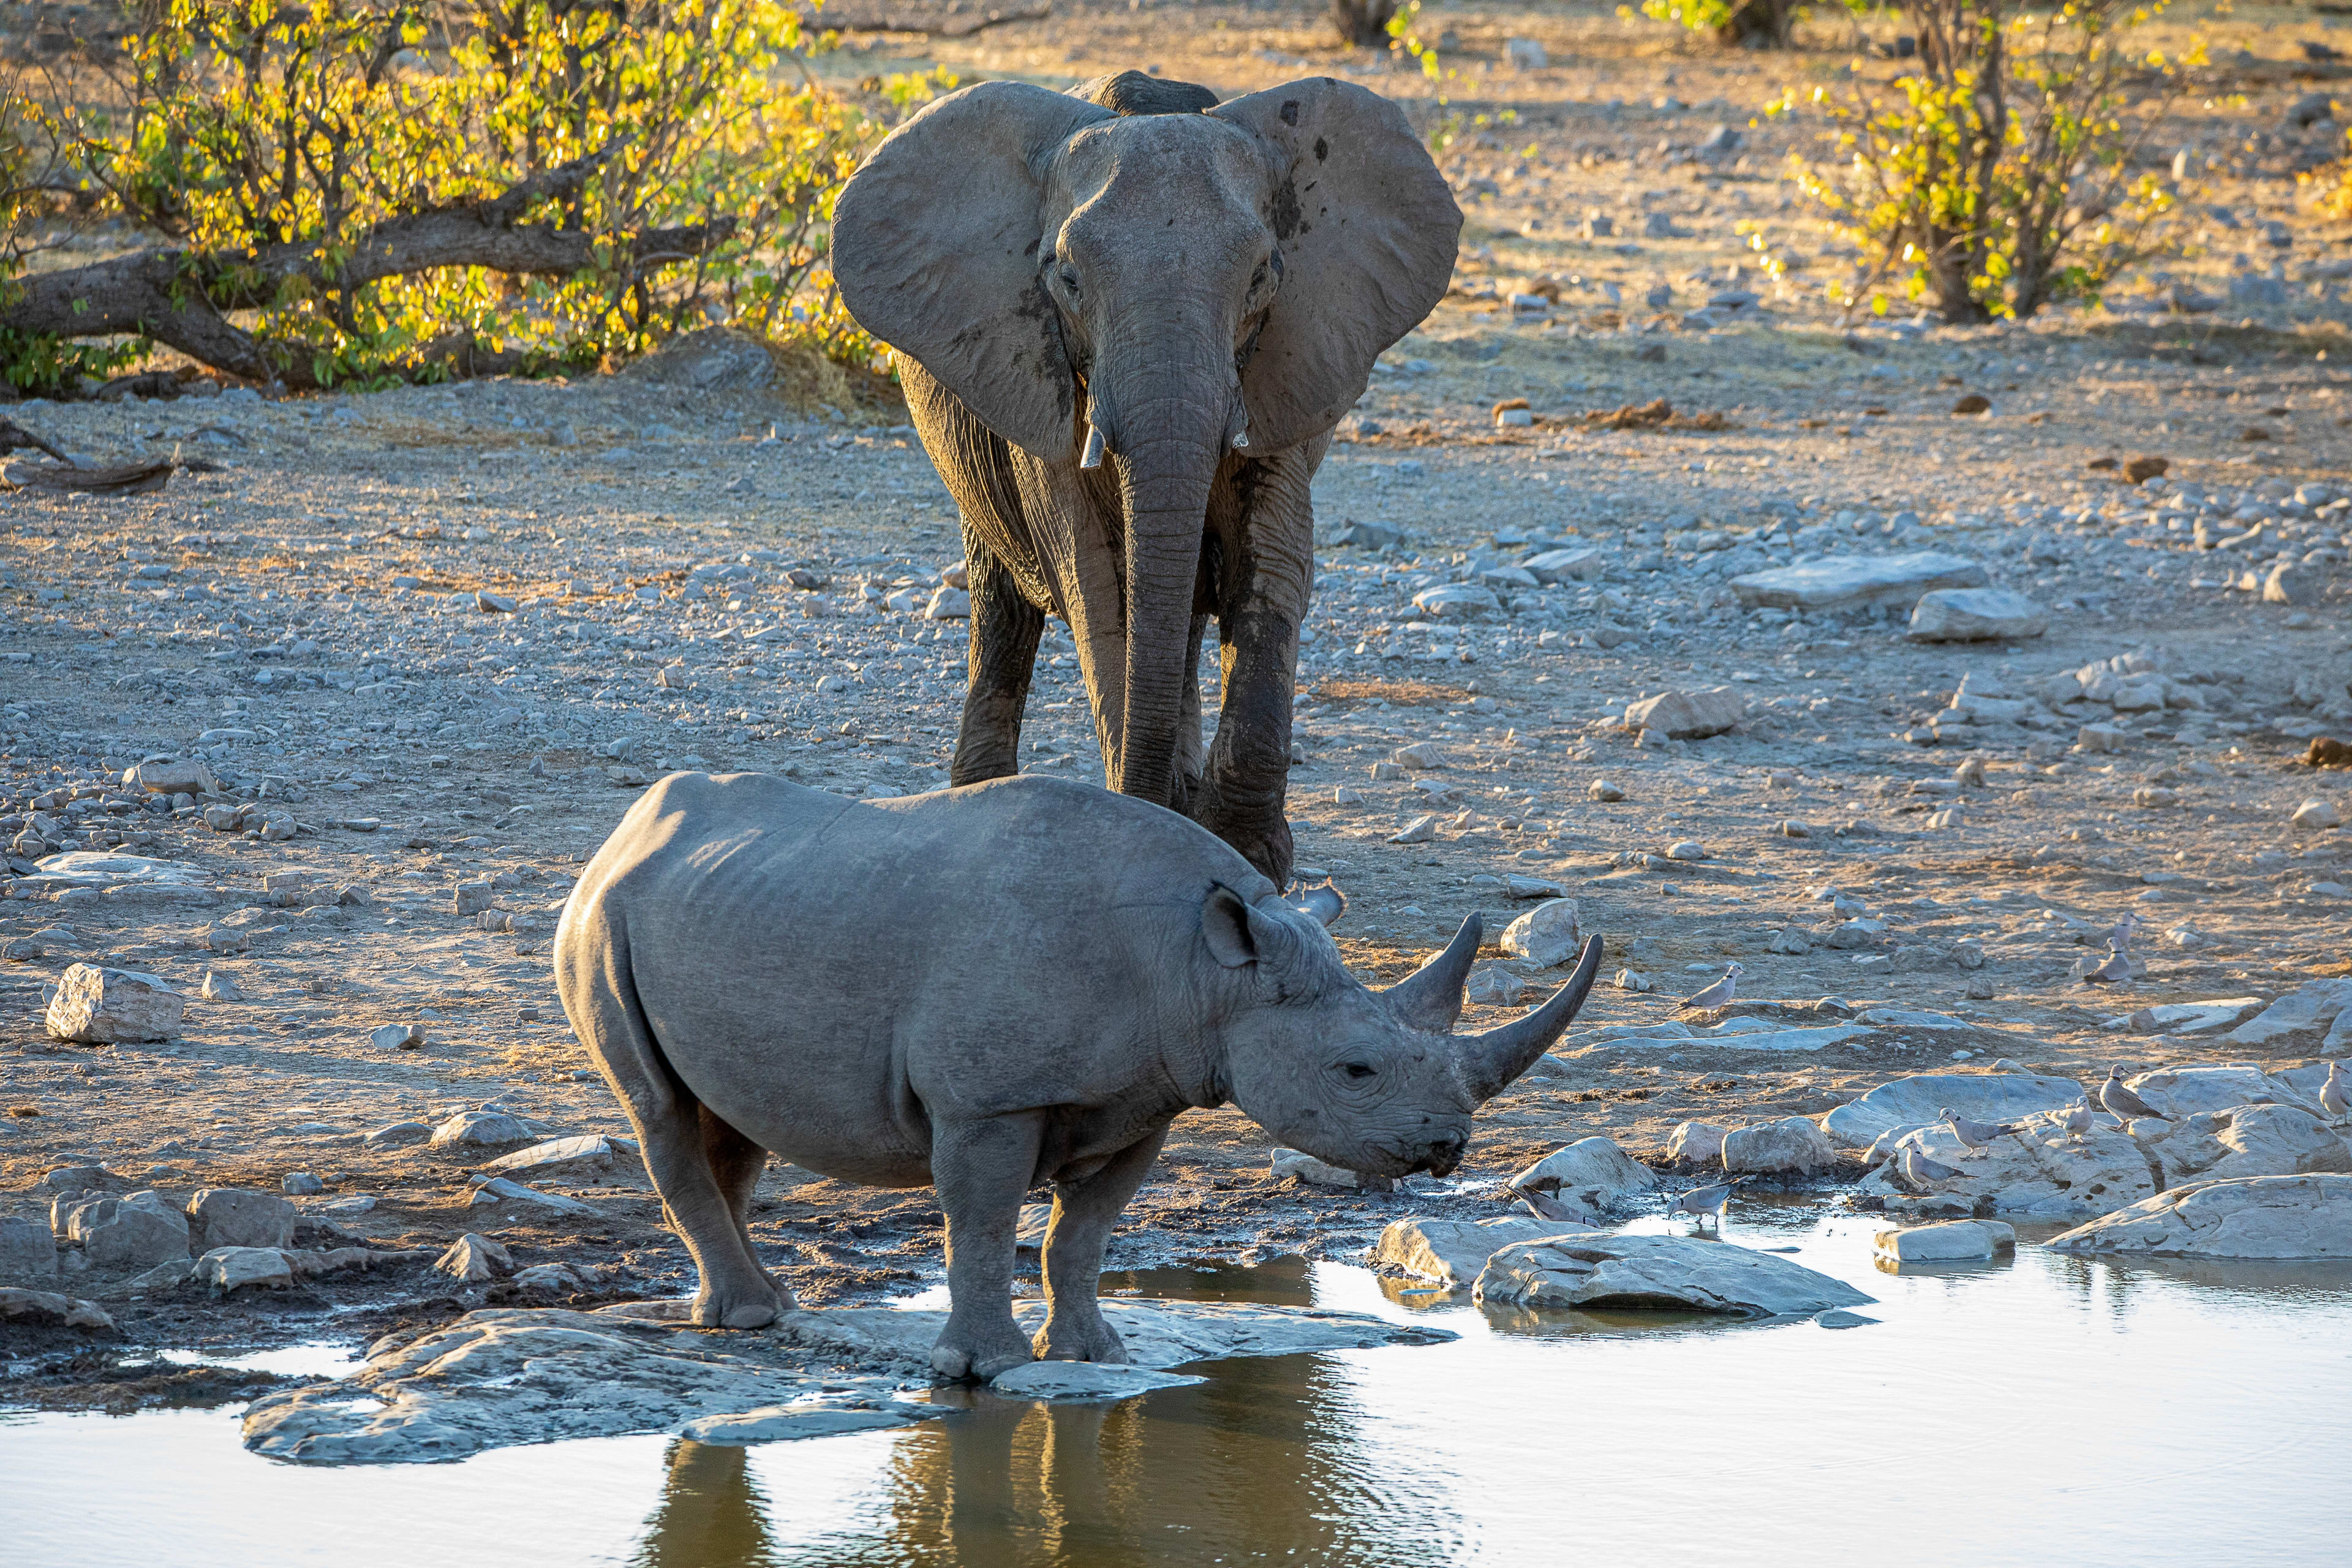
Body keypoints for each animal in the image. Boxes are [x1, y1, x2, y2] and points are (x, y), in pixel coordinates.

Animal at [556, 771, 1602, 1381]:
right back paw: (749, 1315)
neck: (1205, 970)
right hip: (602, 919)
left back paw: (754, 1312)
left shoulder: (1147, 1096)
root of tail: (621, 831)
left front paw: (1096, 1355)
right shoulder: (986, 1098)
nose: (1448, 1147)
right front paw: (982, 1372)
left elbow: (1082, 1237)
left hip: (720, 900)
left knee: (725, 1119)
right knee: (658, 1108)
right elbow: (983, 1225)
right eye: (1356, 1070)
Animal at [832, 71, 1461, 888]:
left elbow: (1273, 563)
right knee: (1004, 607)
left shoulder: (1284, 361)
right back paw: (982, 799)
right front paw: (1150, 825)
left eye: (1263, 276)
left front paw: (1245, 853)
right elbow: (1096, 581)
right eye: (1066, 278)